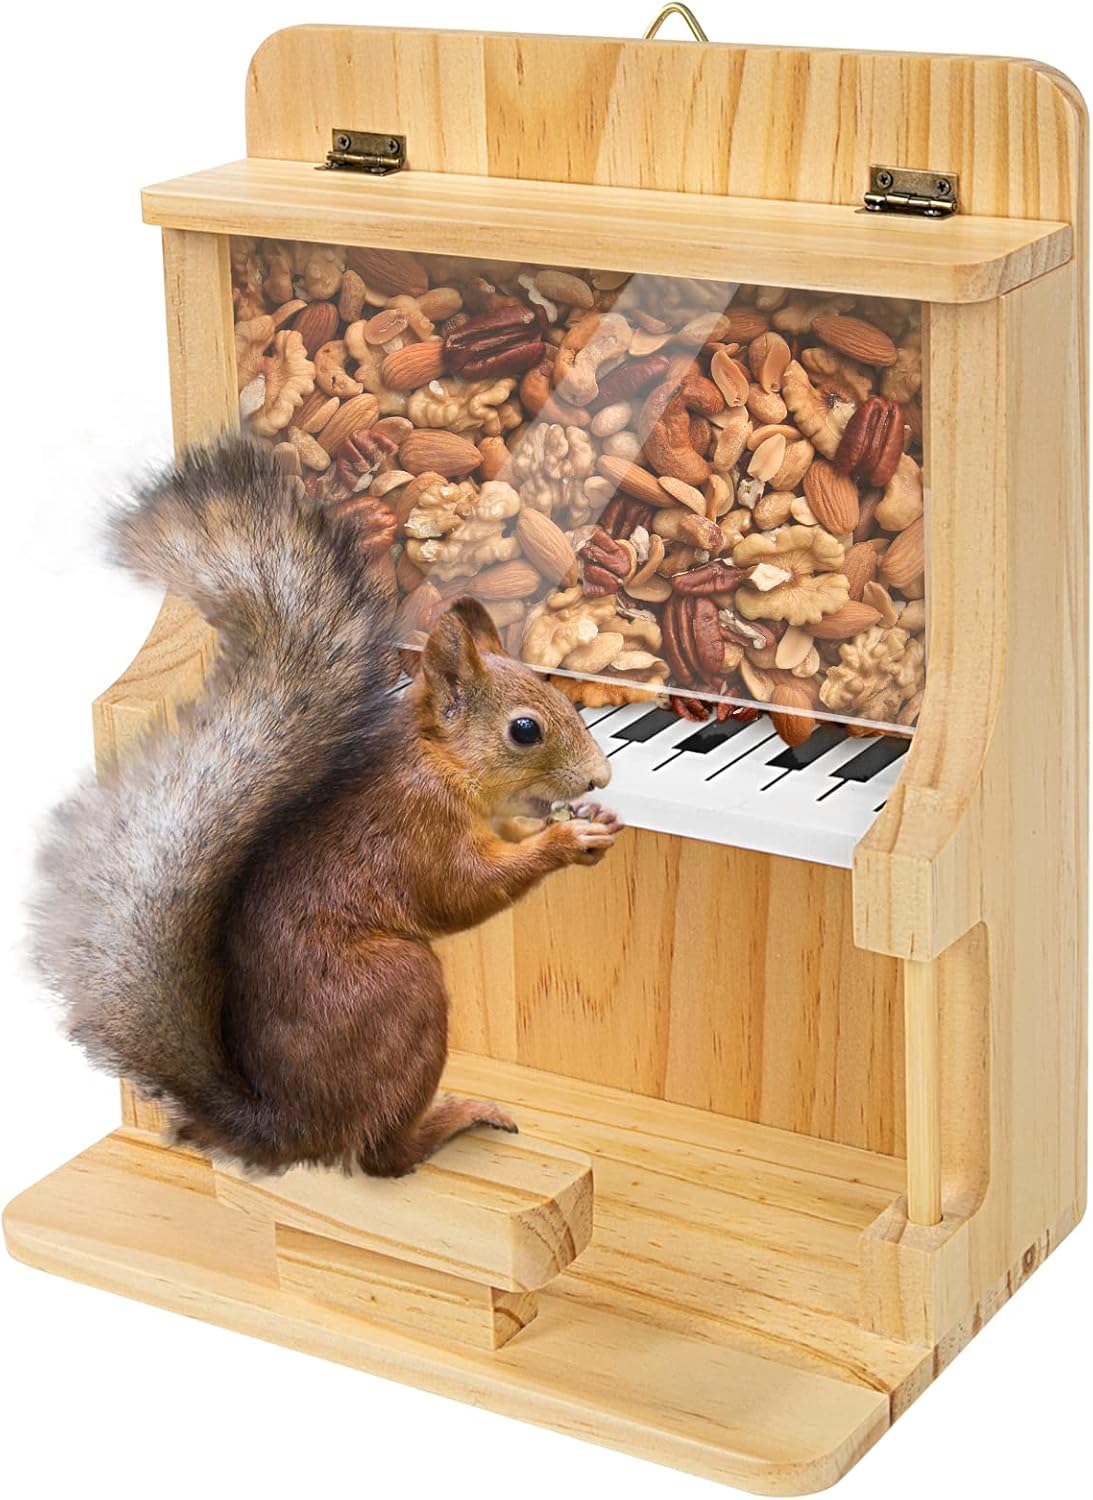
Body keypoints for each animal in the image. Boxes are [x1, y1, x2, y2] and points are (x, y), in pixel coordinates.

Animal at [30, 436, 622, 1177]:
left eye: (566, 696)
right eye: (524, 730)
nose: (600, 778)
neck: (441, 764)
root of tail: (287, 1126)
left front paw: (578, 824)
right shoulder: (413, 829)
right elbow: (464, 890)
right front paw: (563, 843)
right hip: (398, 990)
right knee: (378, 1155)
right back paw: (453, 1120)